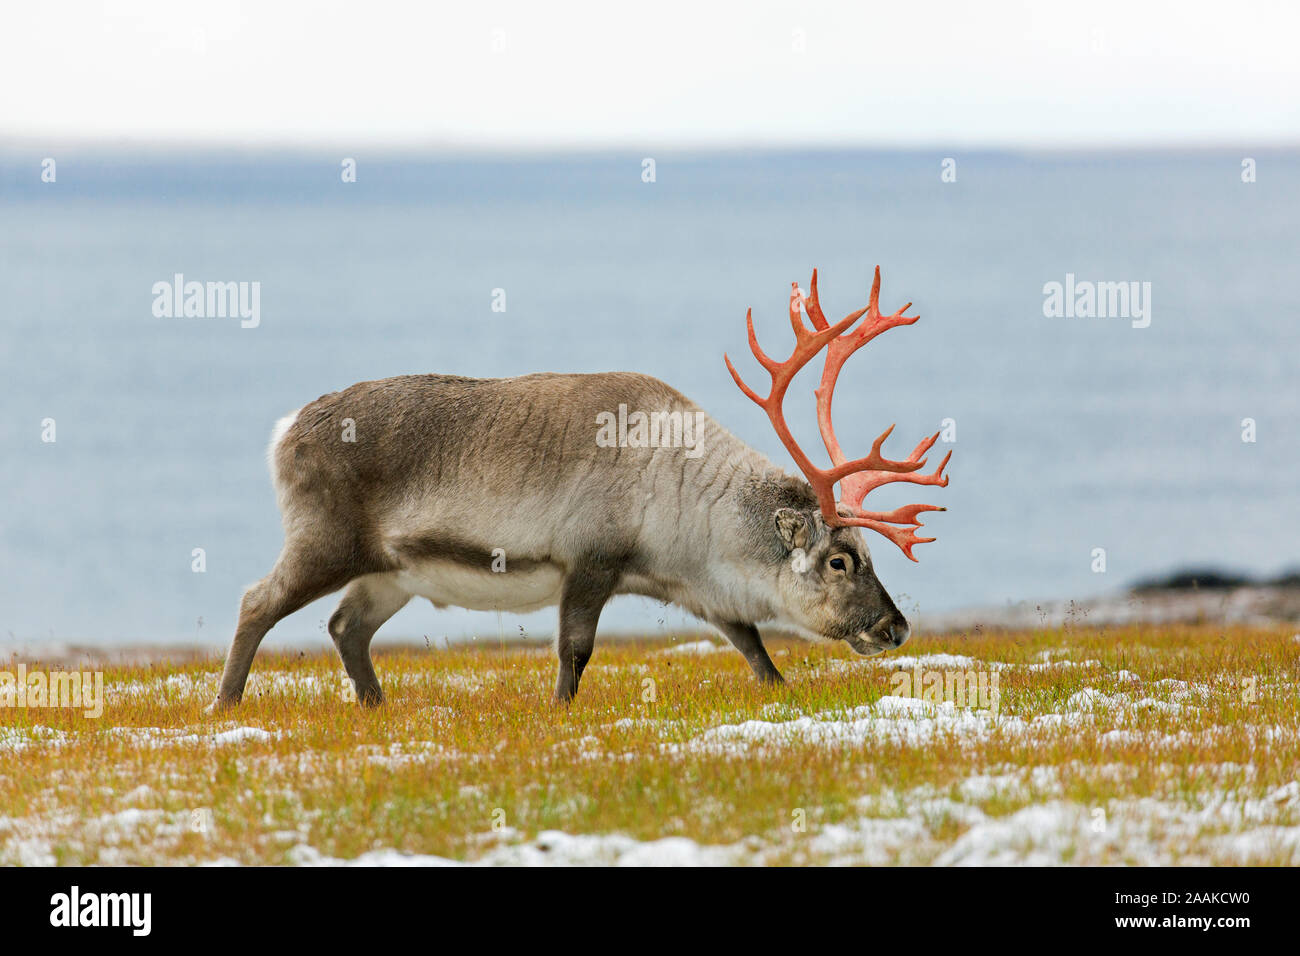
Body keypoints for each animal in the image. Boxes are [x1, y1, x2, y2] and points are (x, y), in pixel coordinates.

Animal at [212, 267, 950, 709]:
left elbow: (749, 641)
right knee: (258, 601)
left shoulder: (686, 584)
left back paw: (377, 705)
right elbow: (574, 650)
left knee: (346, 627)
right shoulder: (589, 562)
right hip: (325, 542)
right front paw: (561, 709)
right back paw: (227, 702)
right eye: (840, 559)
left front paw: (780, 688)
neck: (688, 498)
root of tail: (286, 429)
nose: (896, 627)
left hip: (393, 572)